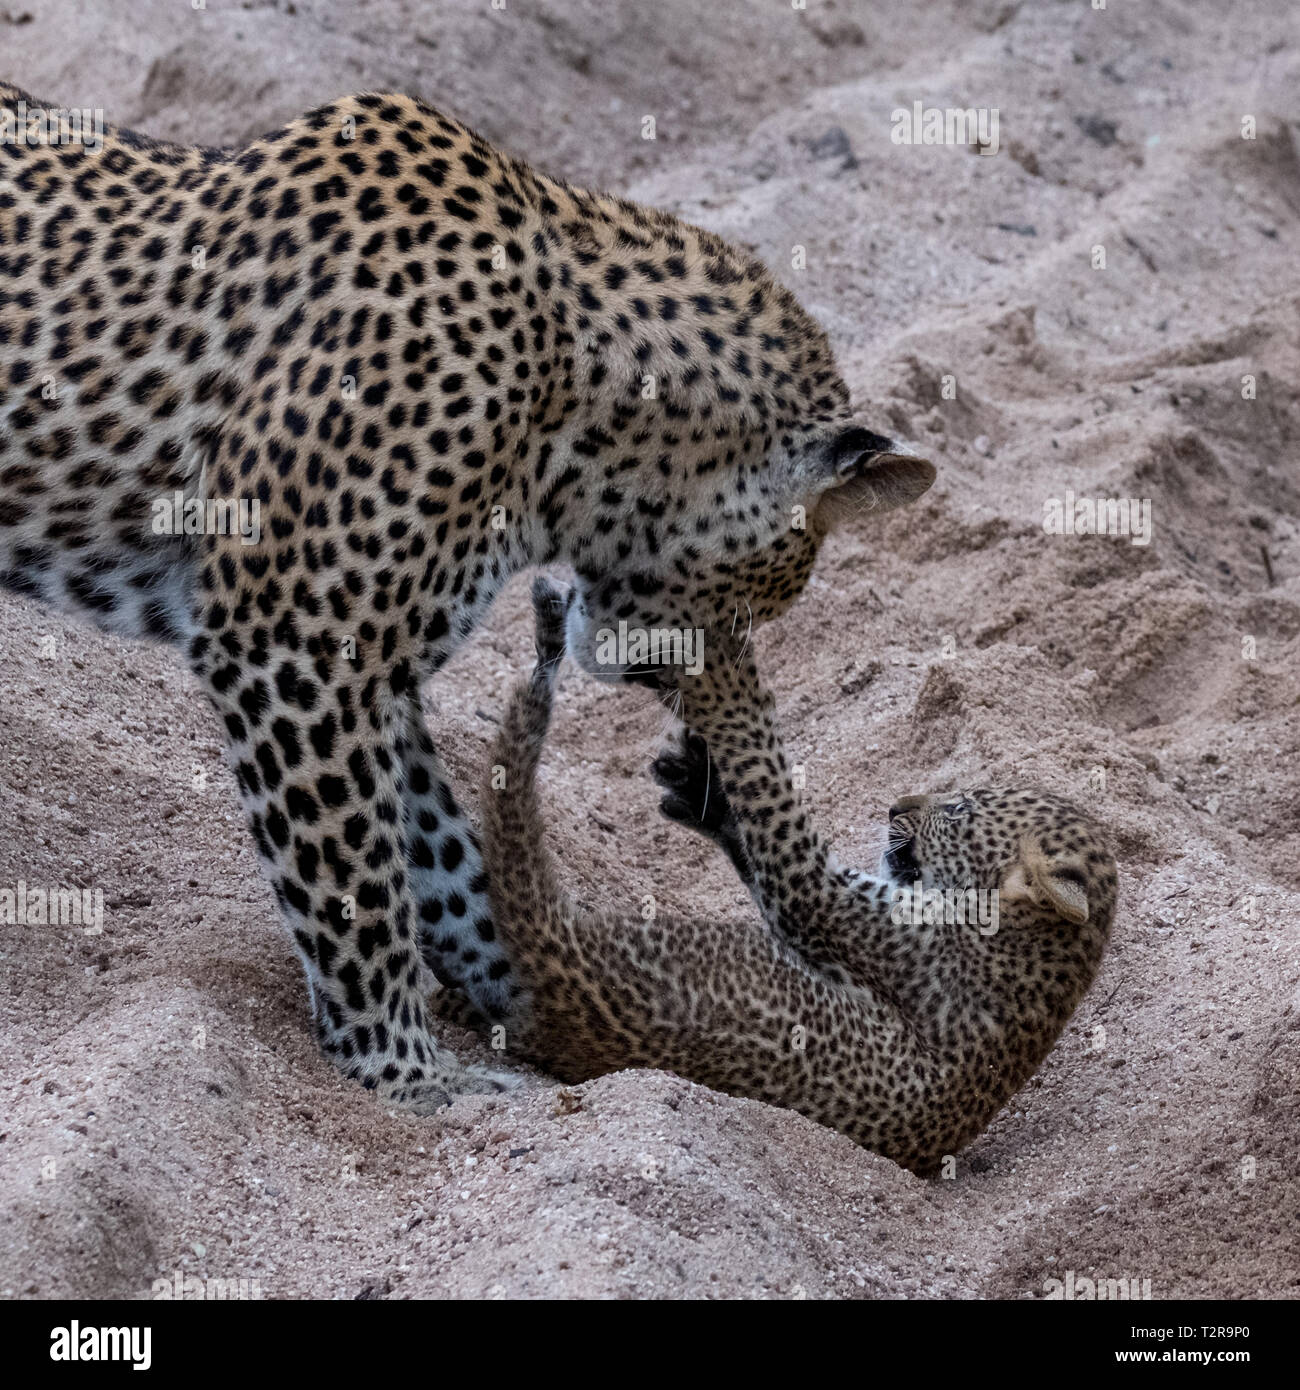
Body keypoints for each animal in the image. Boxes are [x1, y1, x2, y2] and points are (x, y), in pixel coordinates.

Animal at [0, 83, 935, 1110]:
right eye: (764, 598)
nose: (704, 684)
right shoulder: (292, 643)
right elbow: (355, 883)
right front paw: (409, 1074)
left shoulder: (369, 673)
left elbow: (444, 859)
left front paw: (562, 1001)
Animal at [461, 576, 1118, 1175]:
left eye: (957, 811)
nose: (895, 808)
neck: (1026, 953)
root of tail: (568, 970)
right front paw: (704, 791)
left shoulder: (848, 911)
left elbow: (769, 790)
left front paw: (723, 663)